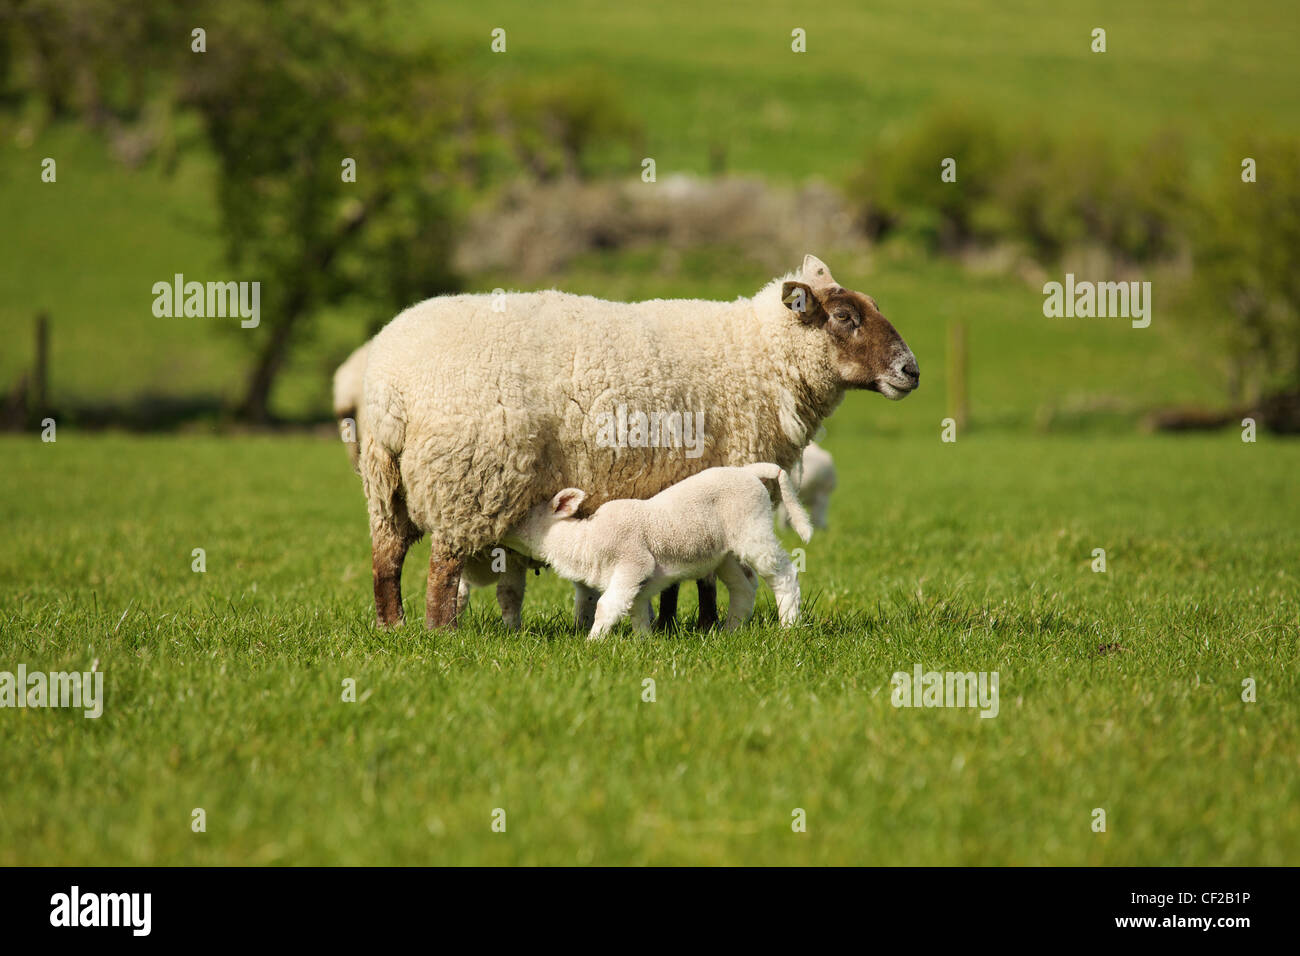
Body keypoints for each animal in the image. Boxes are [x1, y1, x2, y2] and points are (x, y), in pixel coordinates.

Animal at [504, 464, 813, 640]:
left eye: (520, 515)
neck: (585, 540)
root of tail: (749, 472)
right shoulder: (638, 582)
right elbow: (636, 613)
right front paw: (645, 644)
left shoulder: (633, 563)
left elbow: (606, 607)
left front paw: (592, 644)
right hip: (724, 552)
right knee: (744, 588)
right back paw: (729, 633)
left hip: (754, 529)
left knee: (785, 574)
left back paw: (789, 626)